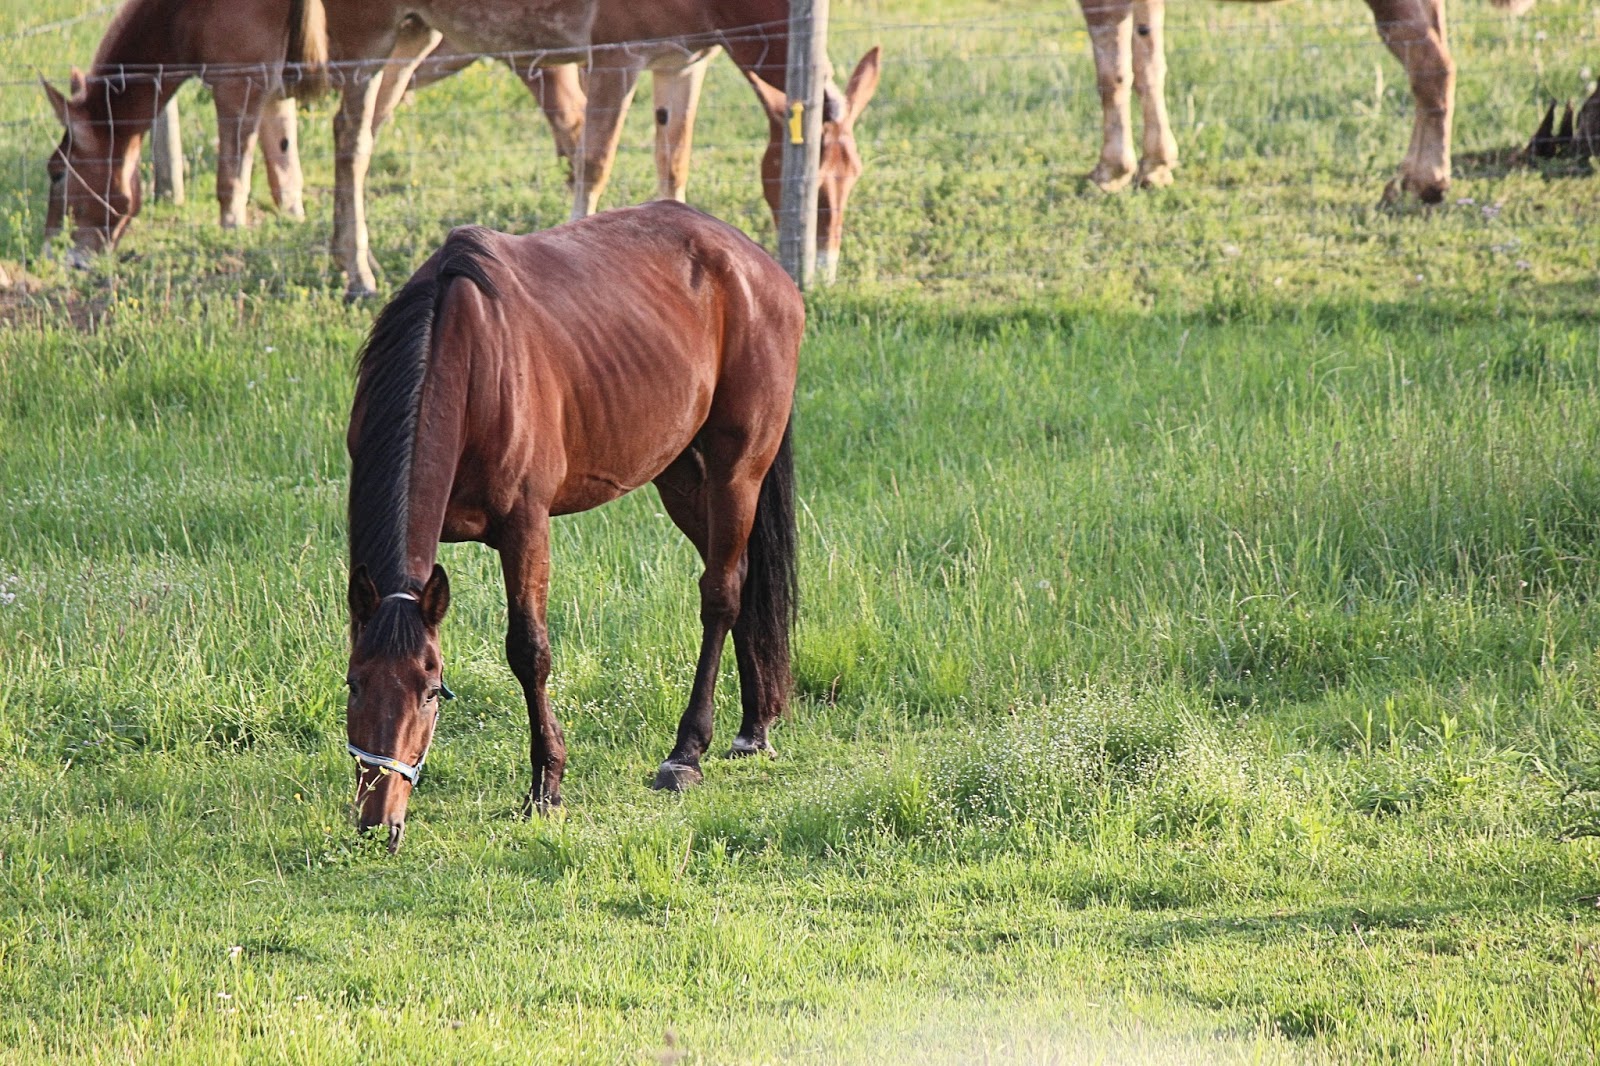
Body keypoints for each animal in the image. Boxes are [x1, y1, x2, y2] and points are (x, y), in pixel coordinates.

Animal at [344, 200, 803, 850]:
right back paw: (754, 727)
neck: (467, 355)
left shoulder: (525, 526)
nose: (377, 820)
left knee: (721, 595)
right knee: (744, 578)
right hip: (683, 480)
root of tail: (757, 263)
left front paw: (547, 786)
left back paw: (687, 752)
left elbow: (528, 650)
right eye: (355, 684)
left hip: (737, 470)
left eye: (431, 691)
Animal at [1078, 0, 1534, 203]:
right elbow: (1148, 66)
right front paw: (1156, 166)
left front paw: (1111, 170)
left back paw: (1425, 181)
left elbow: (1113, 76)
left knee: (1432, 70)